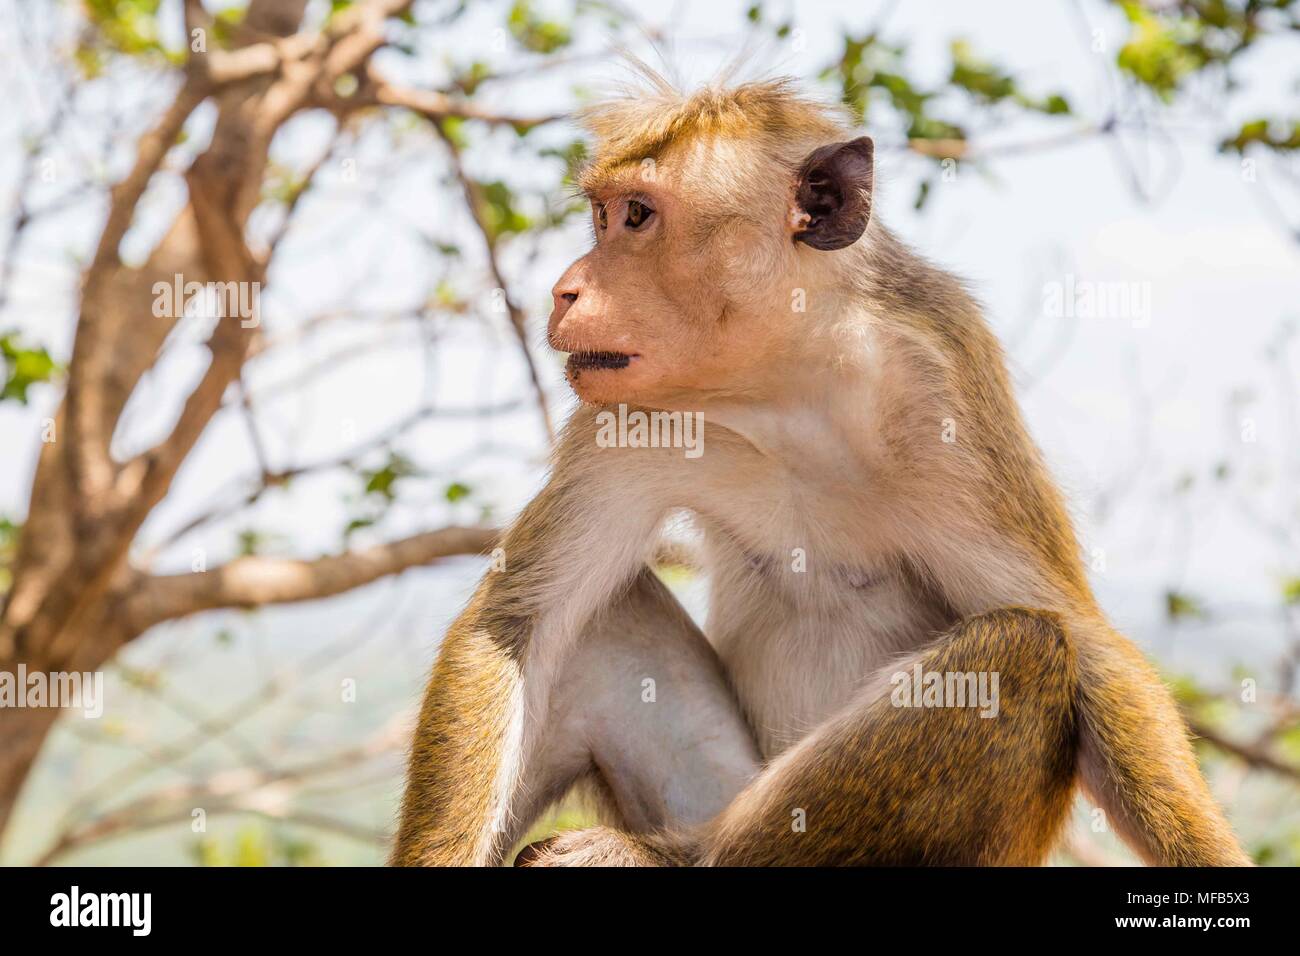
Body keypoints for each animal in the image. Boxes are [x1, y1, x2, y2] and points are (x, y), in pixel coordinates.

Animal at [391, 74, 1250, 867]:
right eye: (603, 214)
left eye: (636, 216)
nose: (565, 290)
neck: (786, 388)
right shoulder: (624, 419)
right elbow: (518, 621)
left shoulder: (949, 386)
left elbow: (1087, 649)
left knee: (1022, 650)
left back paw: (670, 858)